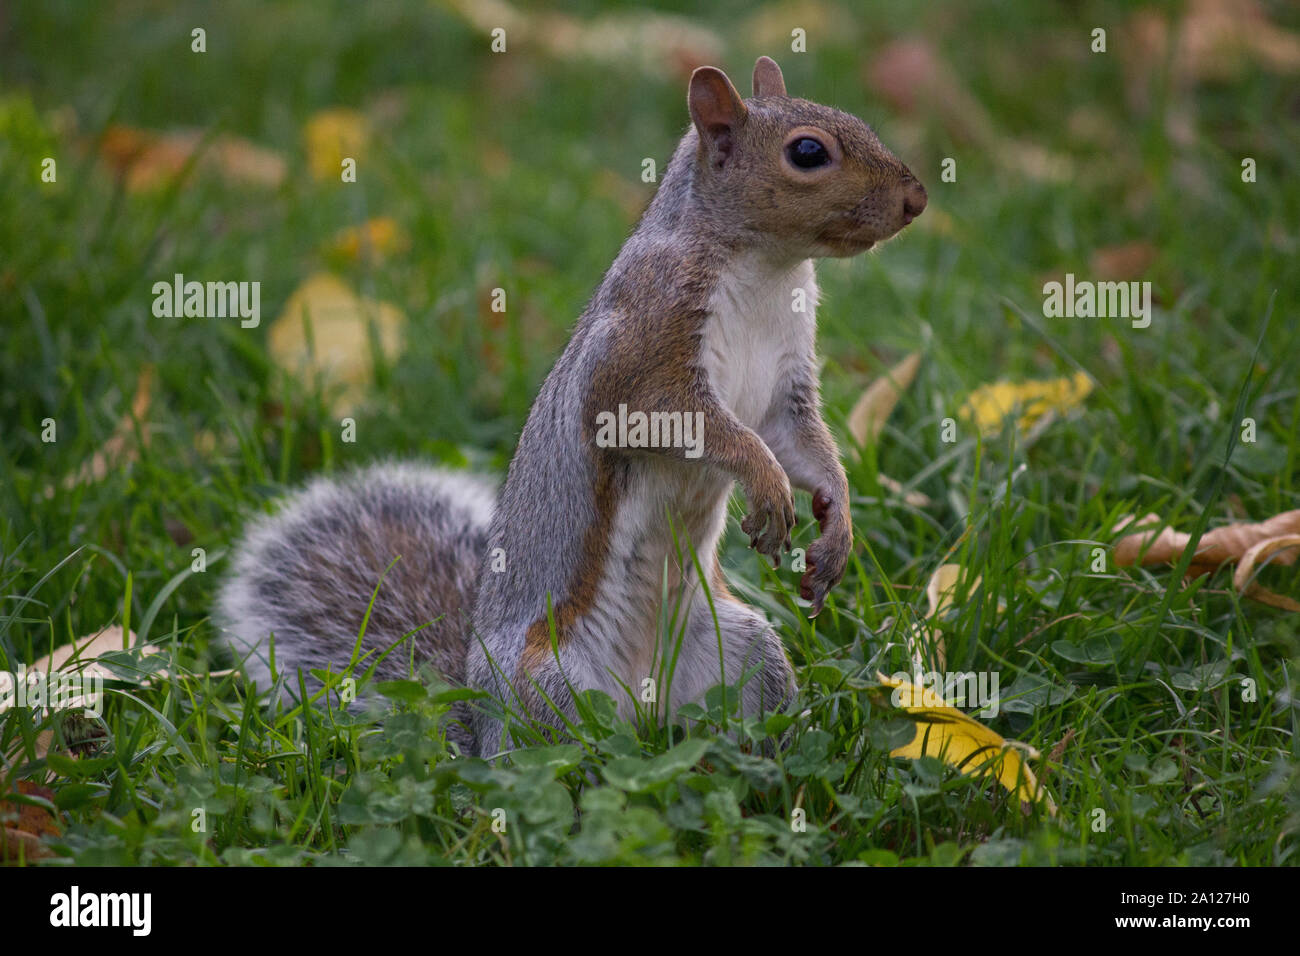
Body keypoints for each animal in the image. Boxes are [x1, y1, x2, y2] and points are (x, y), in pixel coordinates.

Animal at [216, 56, 926, 757]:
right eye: (808, 152)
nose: (917, 200)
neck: (766, 269)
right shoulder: (646, 354)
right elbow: (701, 427)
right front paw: (767, 486)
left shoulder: (785, 392)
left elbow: (803, 444)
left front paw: (836, 527)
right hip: (552, 685)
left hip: (748, 654)